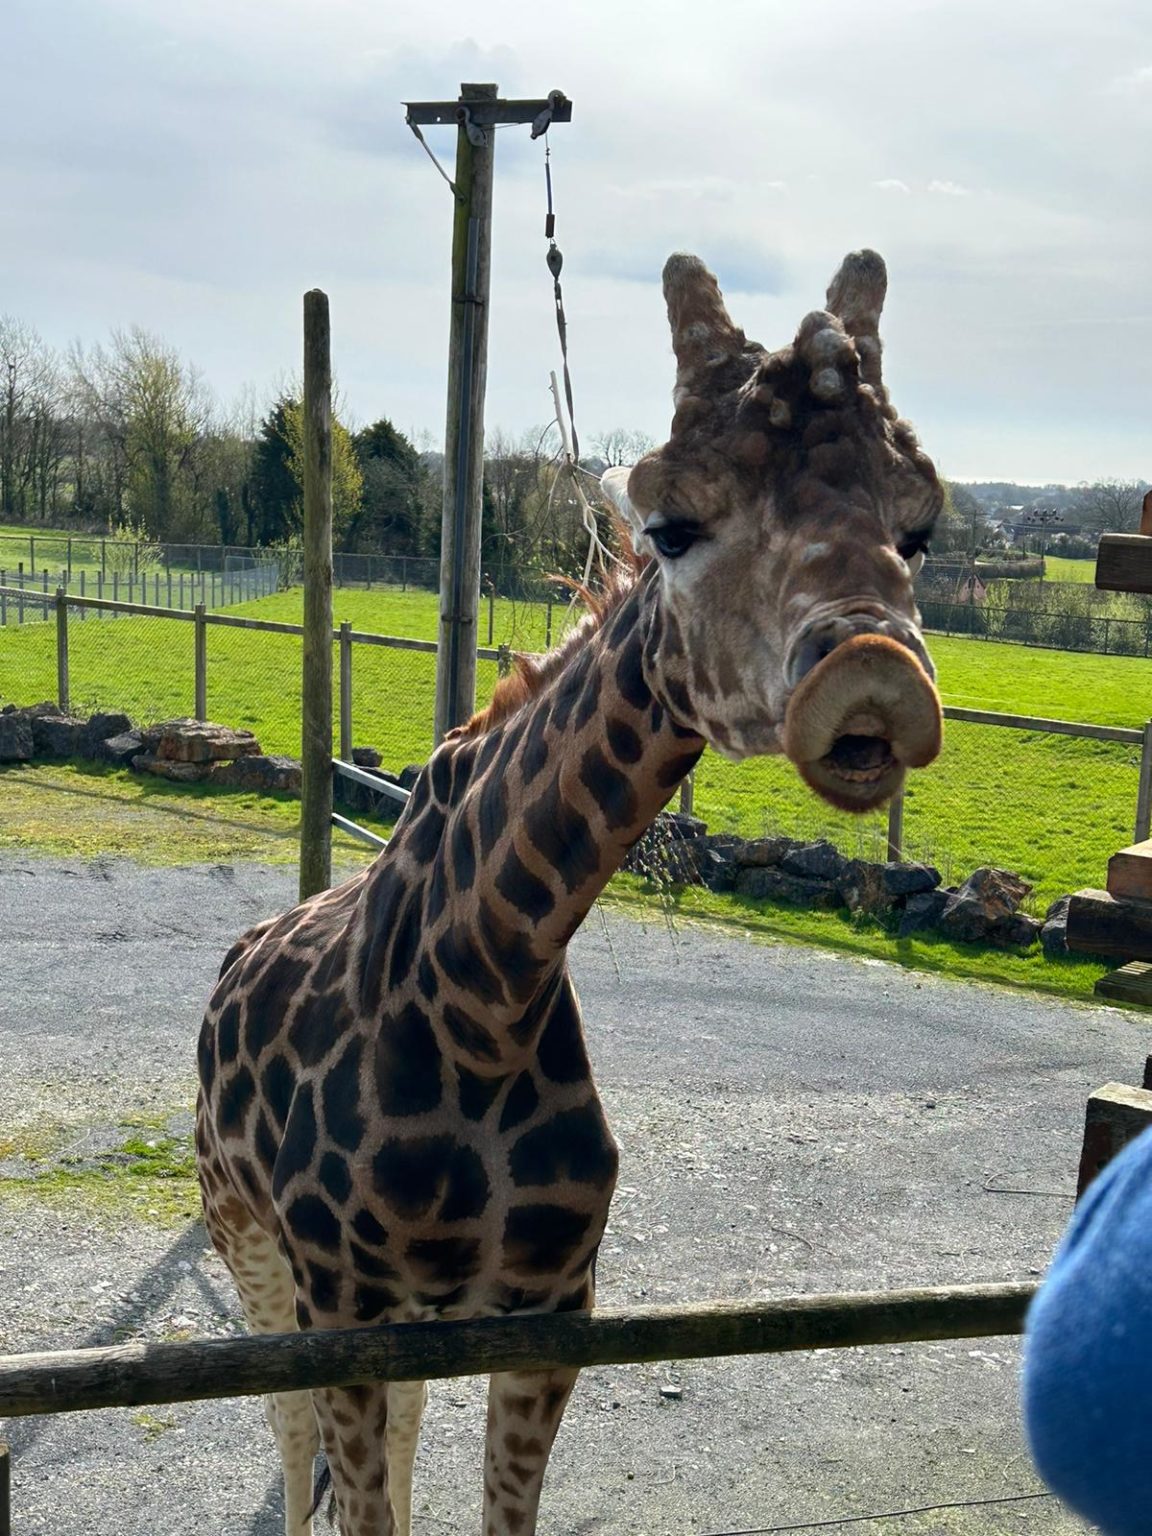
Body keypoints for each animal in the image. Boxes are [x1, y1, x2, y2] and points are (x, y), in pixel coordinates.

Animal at [195, 247, 944, 1536]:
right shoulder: (341, 1307)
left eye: (922, 530)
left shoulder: (548, 1317)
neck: (484, 991)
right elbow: (341, 1476)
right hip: (242, 1235)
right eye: (670, 524)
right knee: (285, 1431)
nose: (874, 678)